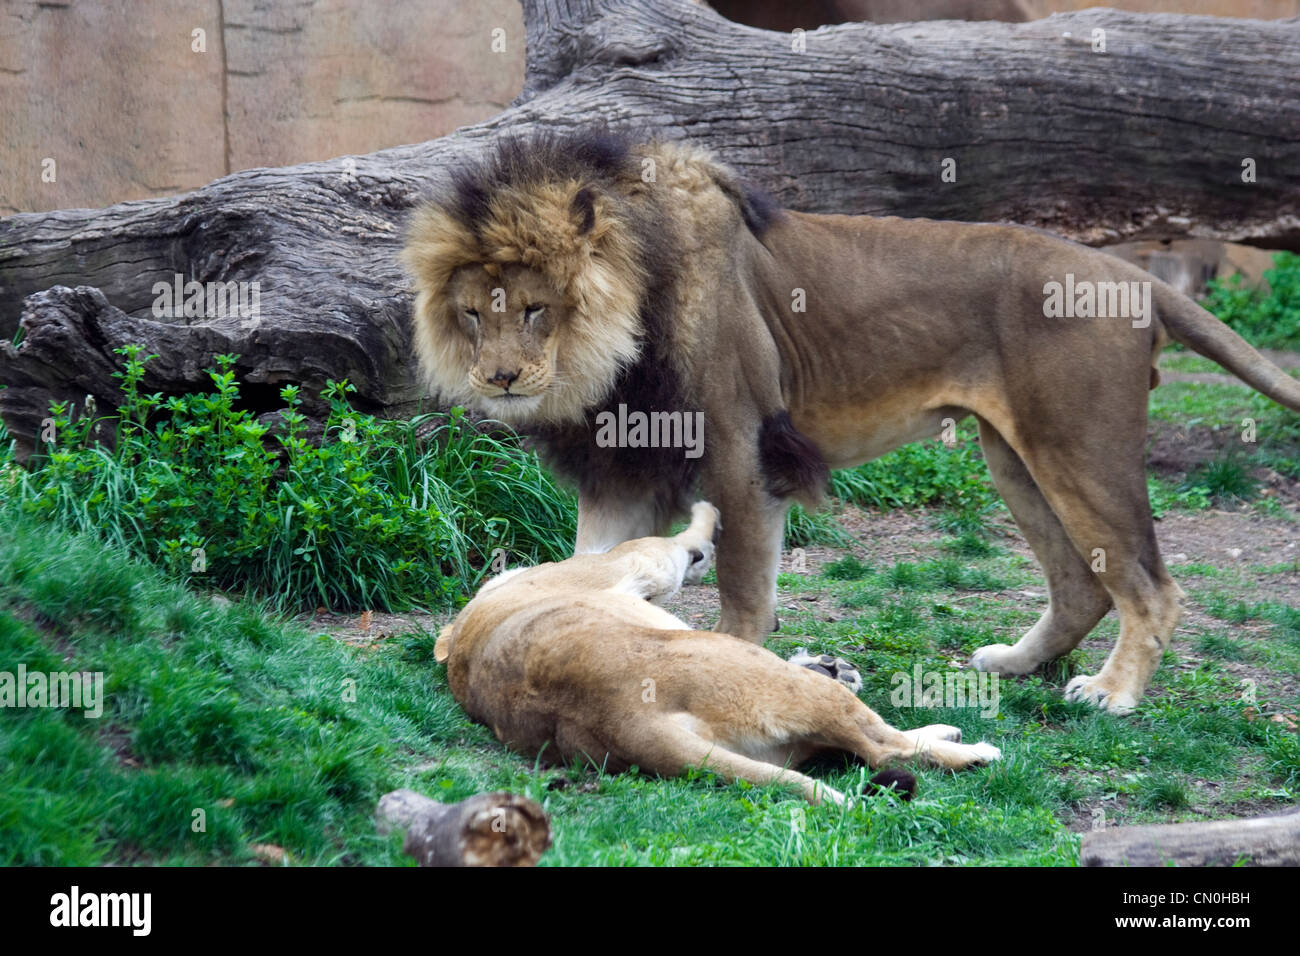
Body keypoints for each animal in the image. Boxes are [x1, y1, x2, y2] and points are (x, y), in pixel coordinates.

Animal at [402, 132, 1300, 715]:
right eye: (473, 314)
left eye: (535, 308)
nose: (500, 377)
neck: (622, 331)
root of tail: (1134, 277)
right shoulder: (620, 471)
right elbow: (585, 565)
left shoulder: (740, 449)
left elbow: (742, 588)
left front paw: (732, 655)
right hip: (1014, 454)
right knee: (1082, 582)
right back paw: (1015, 664)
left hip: (1080, 445)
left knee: (1151, 586)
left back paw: (1113, 694)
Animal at [434, 501, 1001, 806]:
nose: (840, 667)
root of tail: (625, 719)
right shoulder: (640, 560)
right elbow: (685, 541)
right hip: (779, 686)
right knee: (887, 751)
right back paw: (975, 752)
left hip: (772, 744)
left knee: (867, 747)